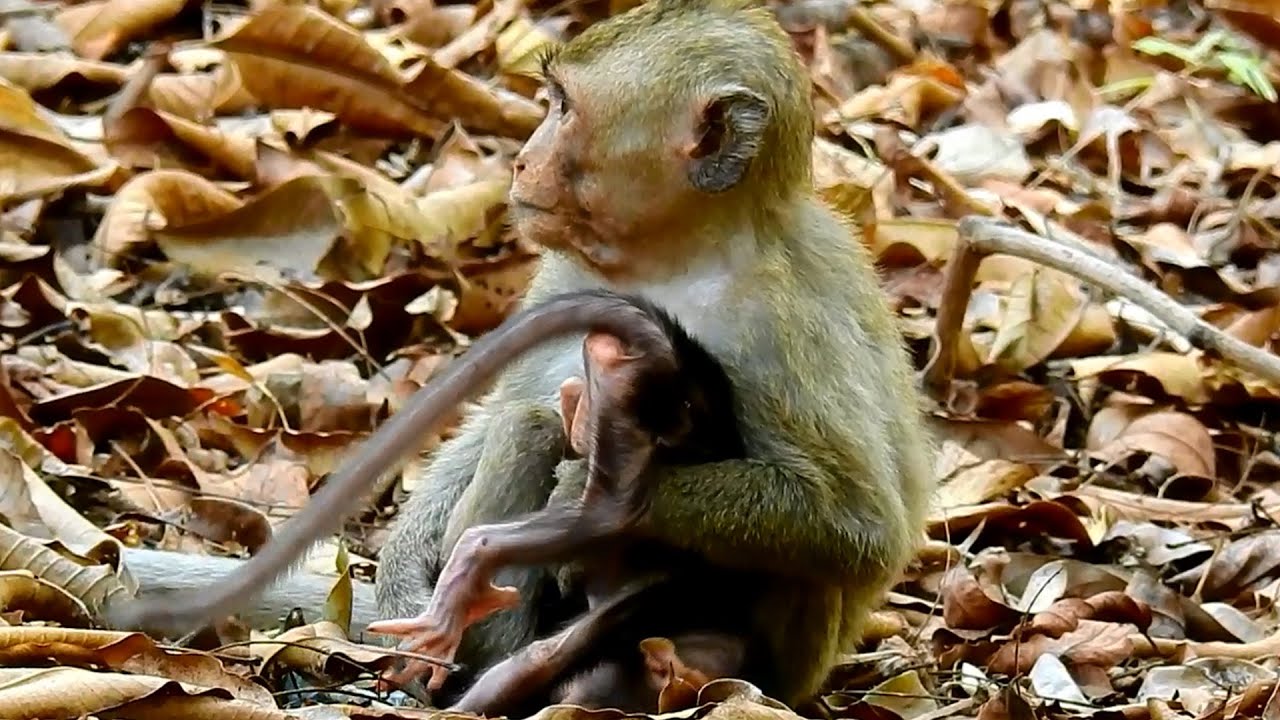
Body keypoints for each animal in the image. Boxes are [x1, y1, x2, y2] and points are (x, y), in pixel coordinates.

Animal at [373, 0, 935, 710]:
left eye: (563, 106)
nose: (522, 162)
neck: (680, 259)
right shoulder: (565, 275)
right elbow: (502, 406)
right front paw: (399, 574)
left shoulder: (785, 322)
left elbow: (860, 527)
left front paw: (593, 495)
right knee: (525, 423)